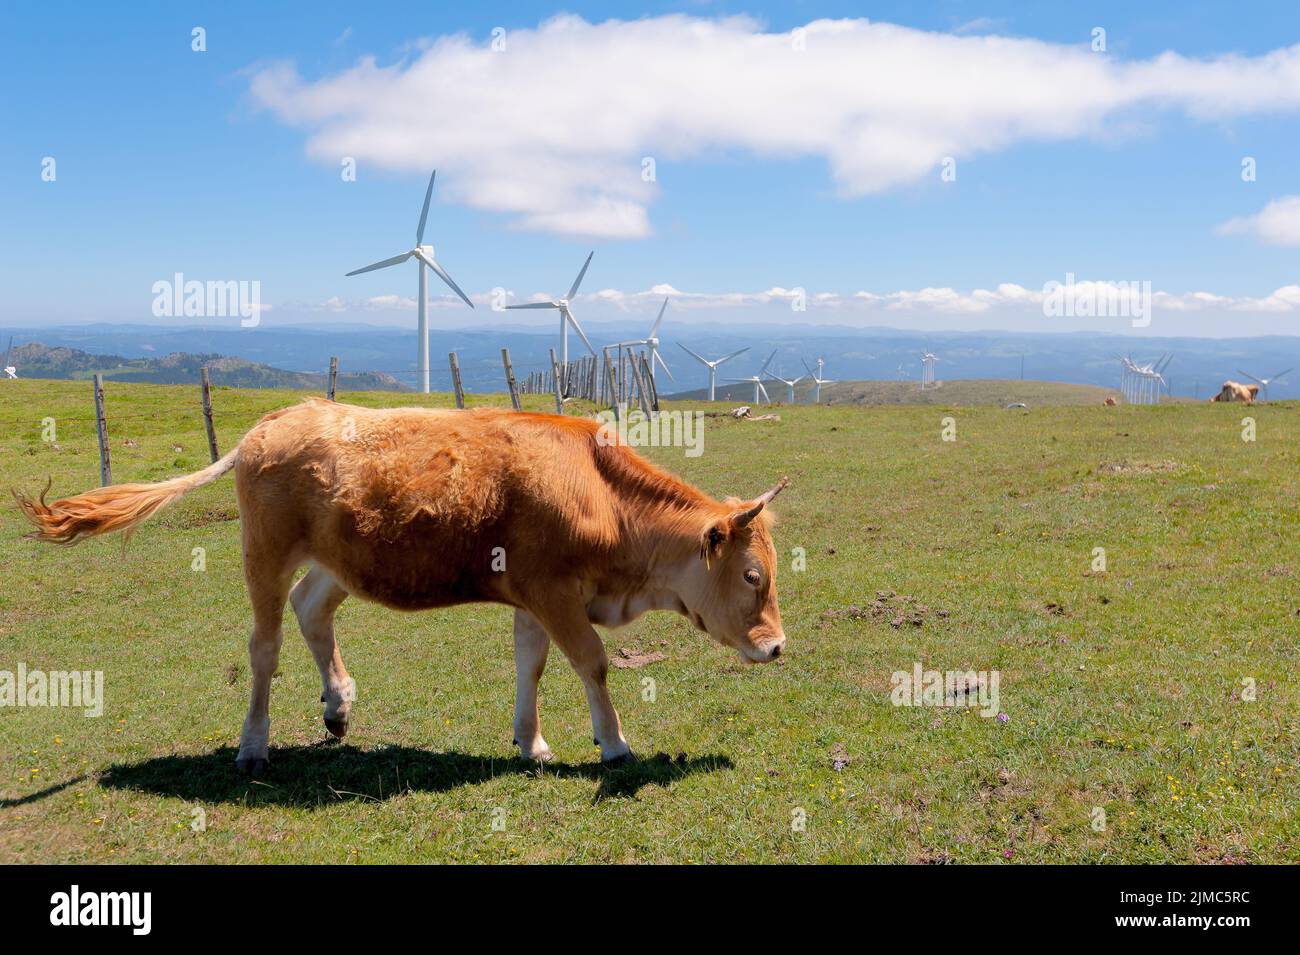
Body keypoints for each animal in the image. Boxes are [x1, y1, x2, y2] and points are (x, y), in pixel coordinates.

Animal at [14, 399, 788, 773]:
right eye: (753, 576)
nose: (778, 647)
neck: (599, 492)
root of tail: (275, 420)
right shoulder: (556, 592)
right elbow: (592, 664)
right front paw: (615, 745)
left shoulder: (534, 595)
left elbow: (531, 666)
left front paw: (531, 743)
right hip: (264, 553)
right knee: (264, 647)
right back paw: (253, 745)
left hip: (336, 561)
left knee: (311, 610)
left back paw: (338, 705)